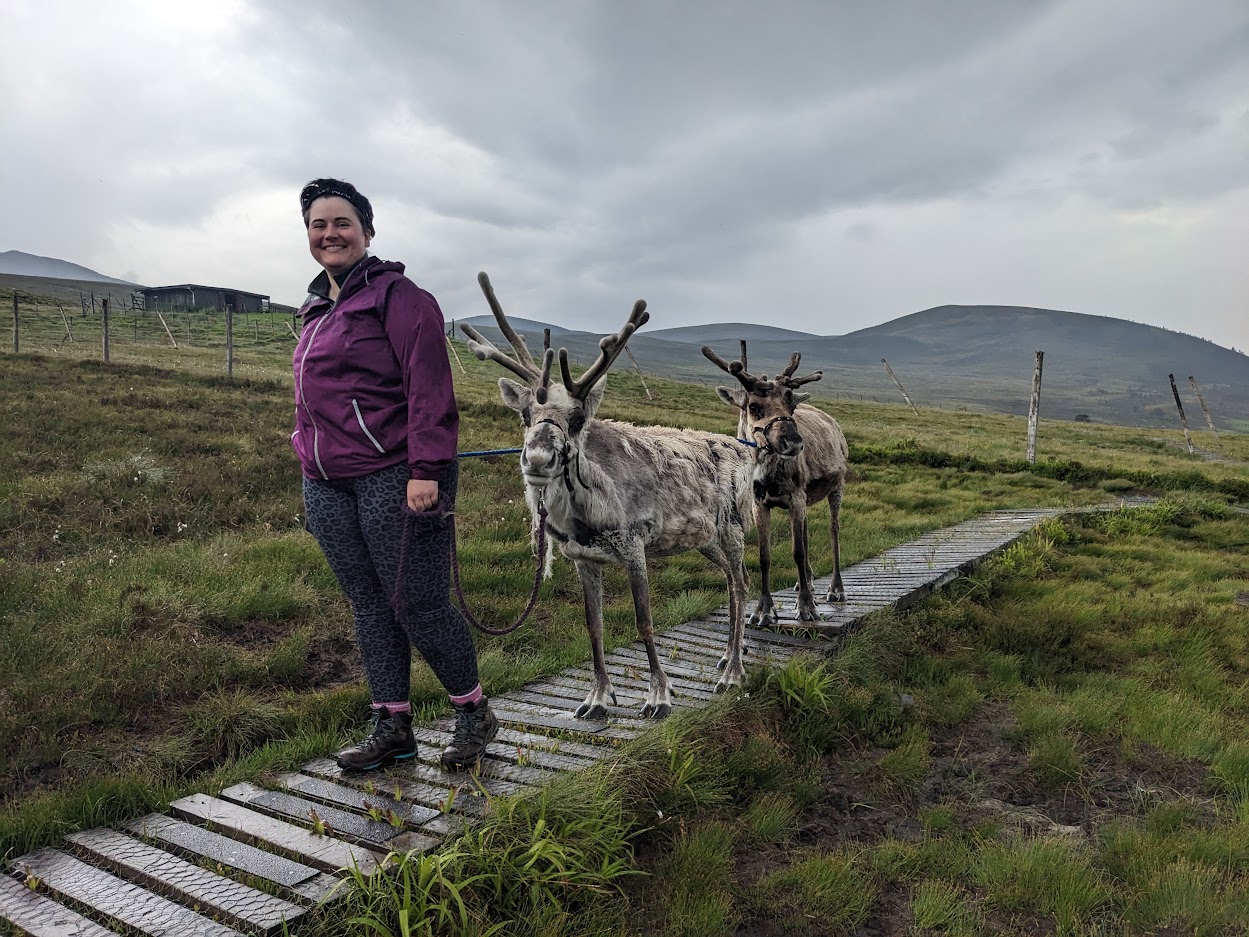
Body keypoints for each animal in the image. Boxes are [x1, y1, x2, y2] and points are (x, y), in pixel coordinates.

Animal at [461, 274, 755, 719]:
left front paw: (658, 696)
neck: (581, 518)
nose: (538, 458)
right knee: (730, 579)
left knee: (739, 583)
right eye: (525, 415)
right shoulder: (583, 558)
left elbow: (644, 621)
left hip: (732, 527)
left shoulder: (634, 546)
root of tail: (742, 448)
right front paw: (596, 698)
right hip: (703, 539)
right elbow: (593, 625)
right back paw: (726, 658)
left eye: (578, 418)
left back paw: (733, 672)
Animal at [703, 342, 849, 624]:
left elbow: (797, 551)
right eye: (753, 407)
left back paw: (835, 589)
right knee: (806, 531)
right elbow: (764, 555)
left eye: (790, 404)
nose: (793, 442)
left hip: (837, 486)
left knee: (834, 529)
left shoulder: (796, 497)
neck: (768, 473)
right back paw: (808, 582)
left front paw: (806, 606)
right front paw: (764, 610)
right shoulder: (760, 503)